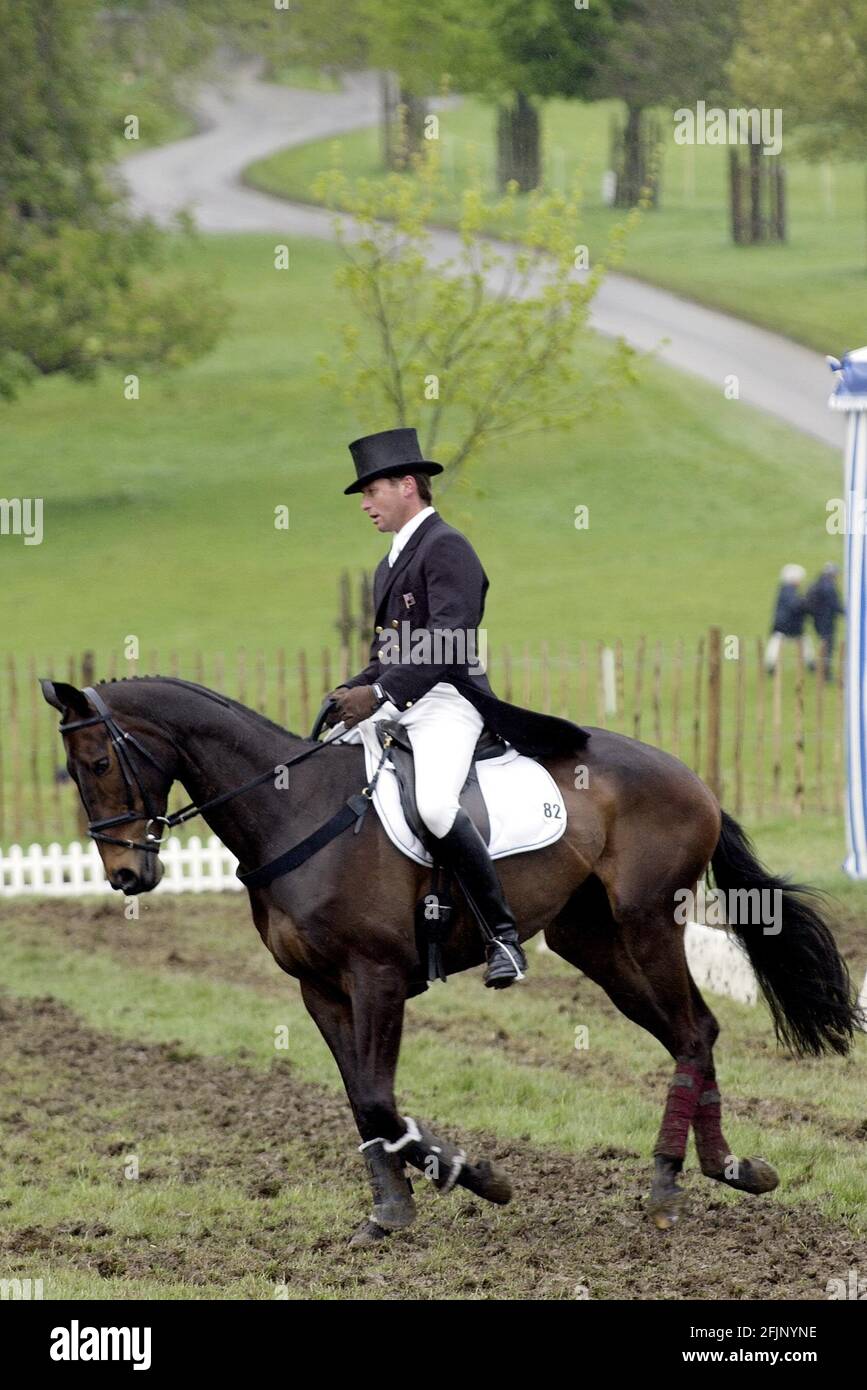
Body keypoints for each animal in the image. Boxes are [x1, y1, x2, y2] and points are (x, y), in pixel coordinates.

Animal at [42, 678, 861, 1245]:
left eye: (98, 761)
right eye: (73, 771)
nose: (126, 876)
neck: (294, 811)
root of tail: (689, 777)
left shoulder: (375, 977)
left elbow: (378, 1098)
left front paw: (479, 1180)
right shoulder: (320, 989)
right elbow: (361, 1100)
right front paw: (390, 1210)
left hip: (649, 925)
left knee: (691, 1033)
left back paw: (665, 1184)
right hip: (593, 942)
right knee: (698, 1032)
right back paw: (729, 1169)